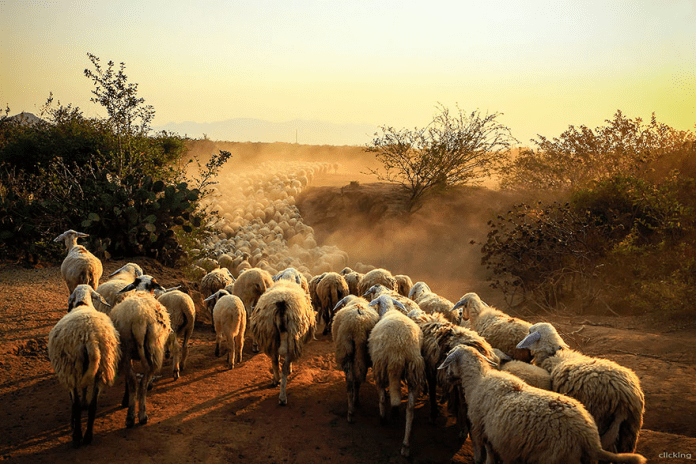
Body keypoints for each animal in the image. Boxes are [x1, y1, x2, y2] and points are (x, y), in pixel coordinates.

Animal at [48, 285, 121, 447]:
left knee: (75, 404)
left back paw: (77, 435)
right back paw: (88, 436)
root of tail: (91, 339)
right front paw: (84, 403)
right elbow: (85, 389)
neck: (84, 304)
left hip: (71, 368)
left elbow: (74, 401)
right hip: (102, 367)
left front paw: (74, 422)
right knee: (94, 405)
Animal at [109, 285, 171, 428]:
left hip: (125, 350)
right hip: (153, 349)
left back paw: (130, 417)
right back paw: (142, 416)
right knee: (143, 383)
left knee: (132, 381)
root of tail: (139, 321)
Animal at [368, 299, 425, 457]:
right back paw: (405, 445)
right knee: (410, 409)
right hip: (414, 369)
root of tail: (398, 351)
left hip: (380, 365)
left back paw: (383, 419)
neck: (389, 310)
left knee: (382, 396)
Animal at [439, 345, 647, 464]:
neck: (478, 379)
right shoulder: (493, 435)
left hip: (555, 458)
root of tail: (587, 436)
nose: (447, 378)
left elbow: (485, 455)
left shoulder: (481, 429)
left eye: (449, 362)